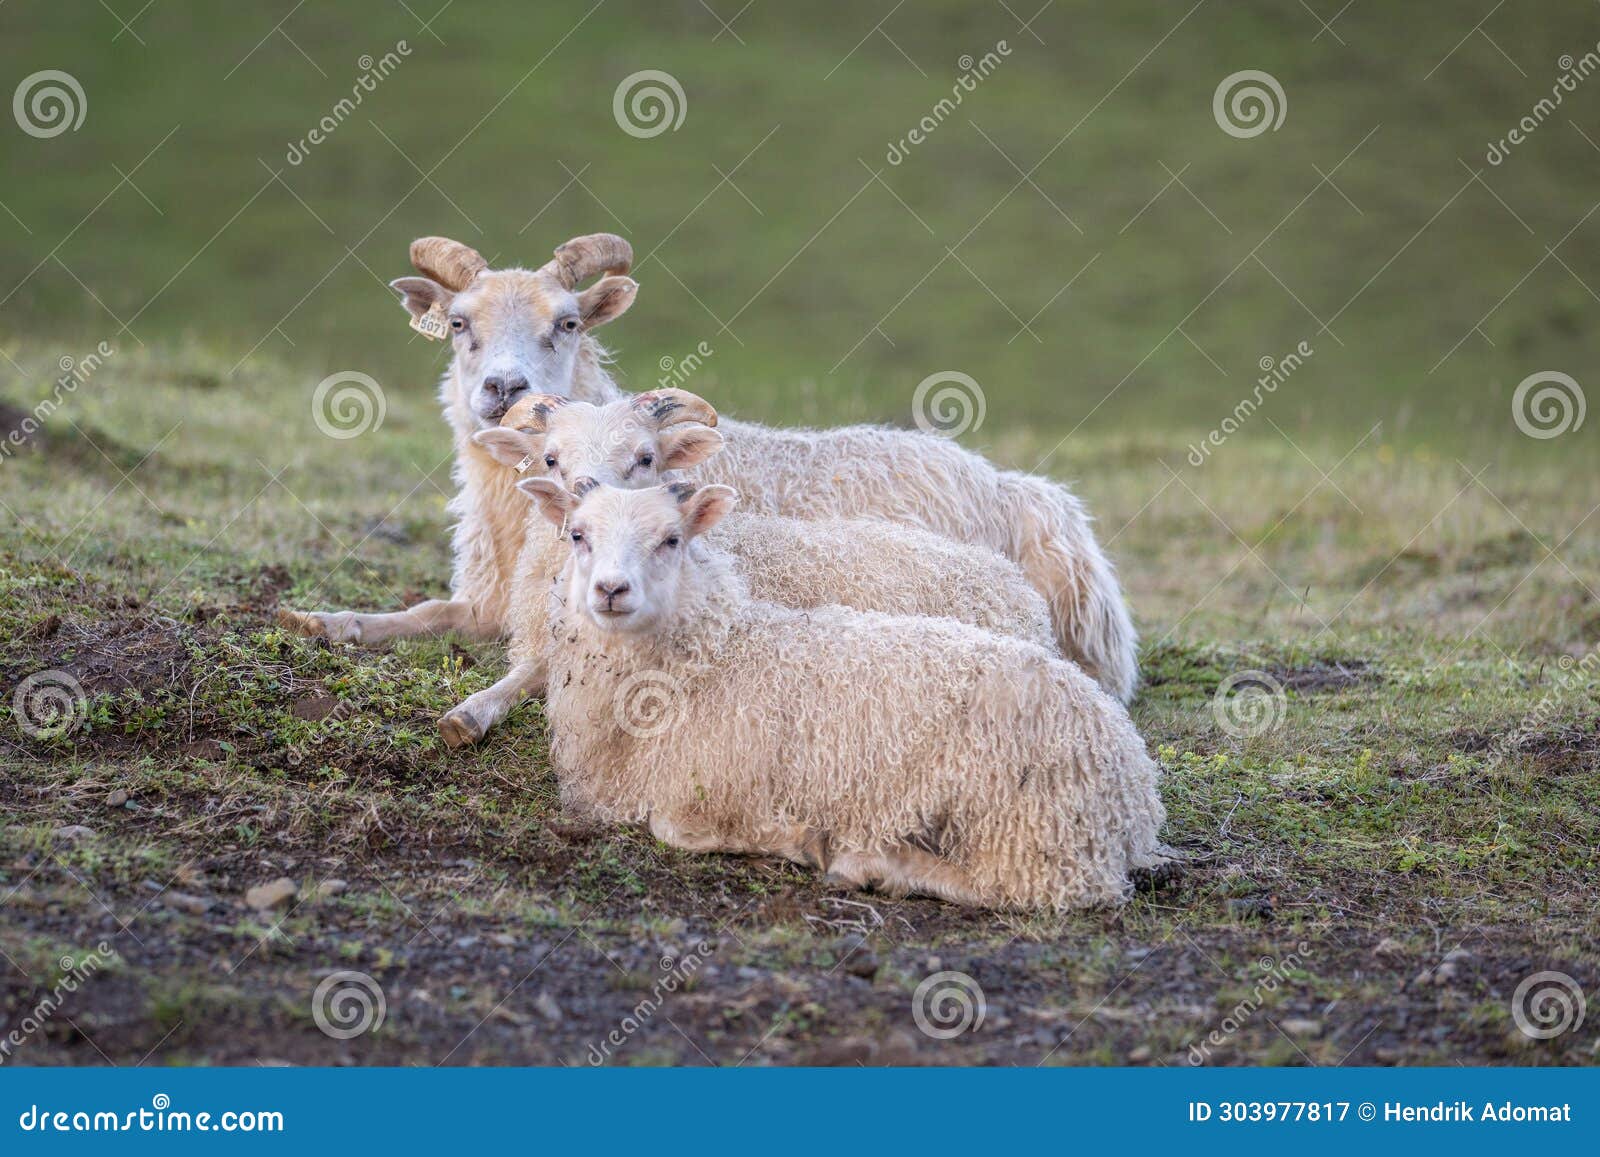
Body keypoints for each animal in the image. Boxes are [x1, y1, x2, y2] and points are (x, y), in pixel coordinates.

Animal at [277, 233, 1138, 703]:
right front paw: (319, 620)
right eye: (458, 324)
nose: (504, 389)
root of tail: (1015, 488)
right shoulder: (490, 598)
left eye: (568, 323)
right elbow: (421, 613)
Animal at [520, 478, 1166, 911]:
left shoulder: (715, 779)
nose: (611, 590)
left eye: (671, 539)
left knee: (1026, 888)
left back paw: (875, 866)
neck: (713, 654)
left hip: (1025, 824)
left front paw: (795, 841)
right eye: (577, 535)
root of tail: (1135, 790)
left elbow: (673, 828)